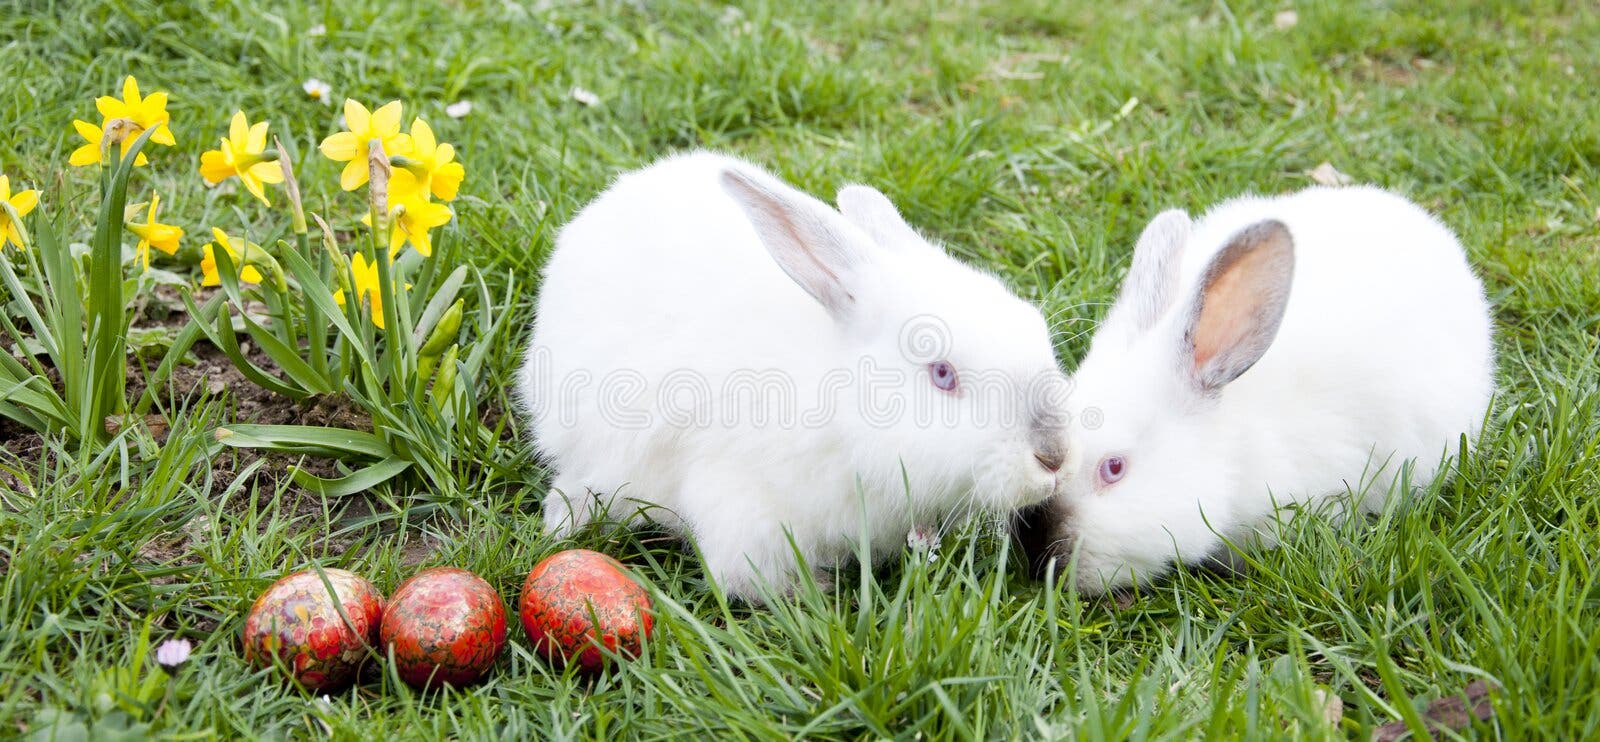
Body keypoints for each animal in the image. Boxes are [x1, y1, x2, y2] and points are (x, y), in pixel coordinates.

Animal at [517, 151, 1071, 601]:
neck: (844, 415)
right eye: (941, 373)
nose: (1055, 457)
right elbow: (744, 576)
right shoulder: (743, 507)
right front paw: (815, 589)